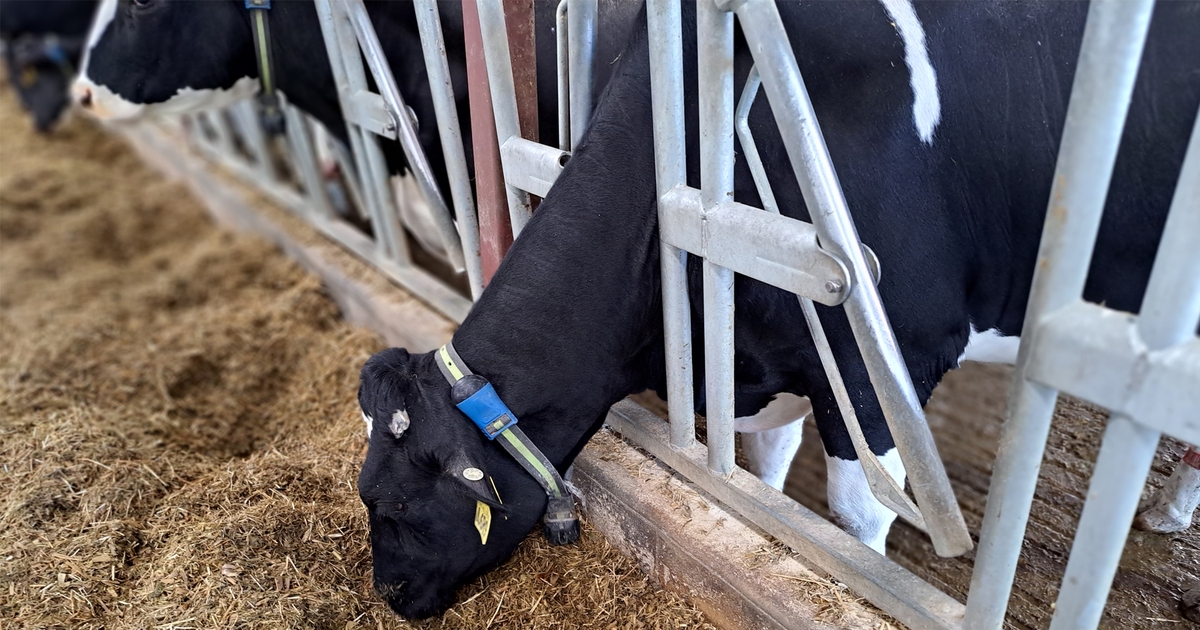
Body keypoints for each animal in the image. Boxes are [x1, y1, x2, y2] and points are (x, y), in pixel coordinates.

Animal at [354, 0, 1199, 618]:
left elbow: (857, 515)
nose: (388, 593)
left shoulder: (886, 357)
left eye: (397, 502)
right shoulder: (764, 354)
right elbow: (764, 464)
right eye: (365, 491)